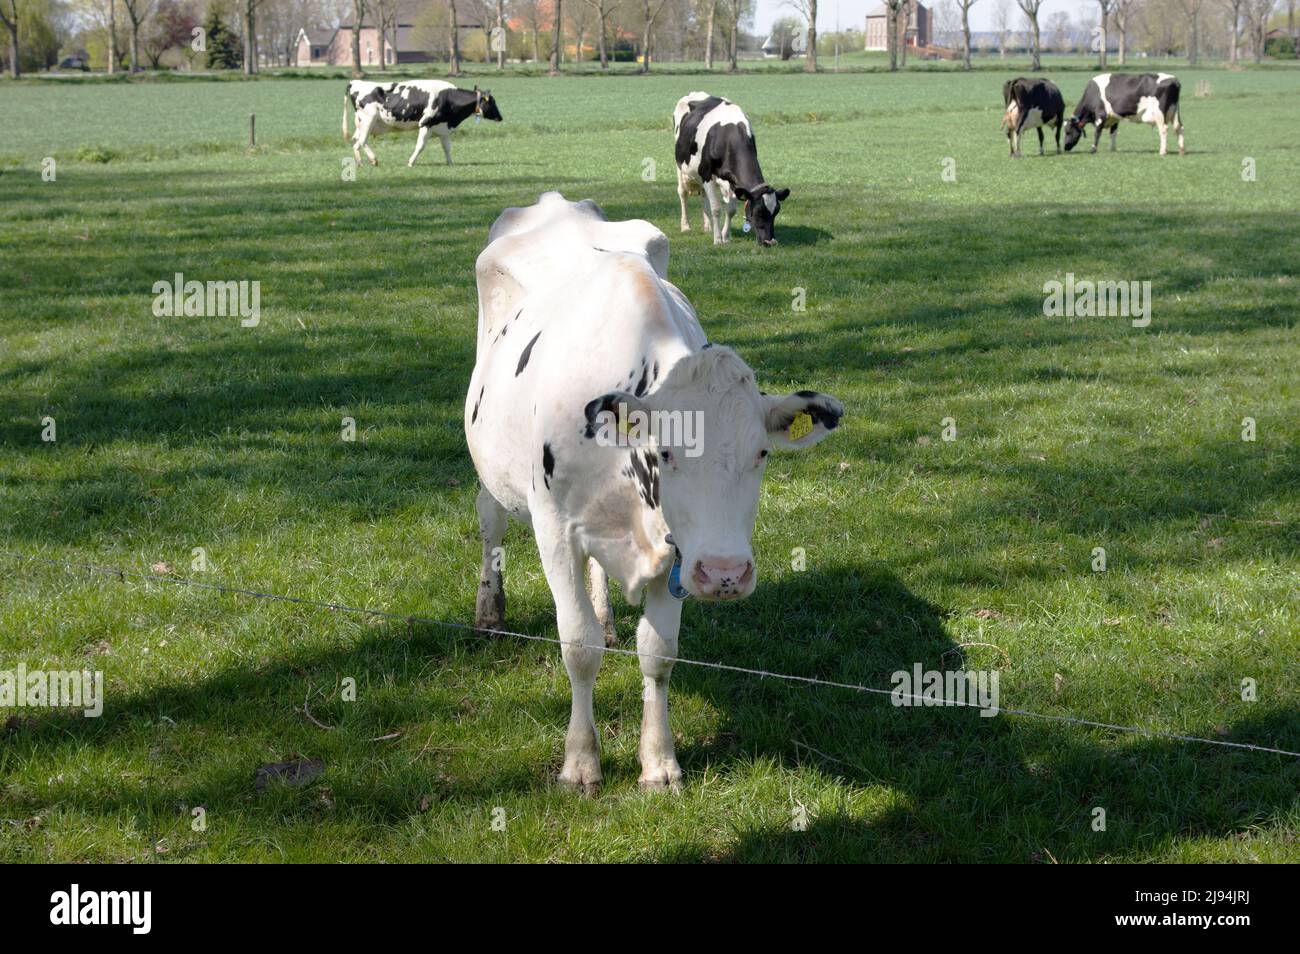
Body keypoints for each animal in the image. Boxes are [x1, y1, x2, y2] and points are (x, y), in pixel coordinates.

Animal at [350, 80, 503, 168]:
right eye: (492, 102)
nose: (501, 117)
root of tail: (356, 83)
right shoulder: (426, 124)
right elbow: (420, 146)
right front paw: (411, 162)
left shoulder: (443, 127)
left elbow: (447, 148)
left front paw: (450, 163)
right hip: (368, 119)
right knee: (362, 140)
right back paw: (374, 160)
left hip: (362, 123)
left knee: (356, 141)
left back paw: (360, 163)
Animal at [464, 192, 843, 792]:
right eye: (666, 453)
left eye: (761, 453)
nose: (725, 574)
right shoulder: (554, 529)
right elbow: (578, 645)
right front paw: (580, 763)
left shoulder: (677, 551)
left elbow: (659, 654)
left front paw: (659, 762)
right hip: (491, 466)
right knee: (490, 522)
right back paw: (490, 611)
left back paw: (607, 618)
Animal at [673, 92, 790, 247]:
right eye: (758, 212)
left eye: (776, 212)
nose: (769, 242)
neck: (728, 138)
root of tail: (695, 93)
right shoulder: (706, 173)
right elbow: (716, 208)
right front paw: (718, 240)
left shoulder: (734, 181)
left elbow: (731, 210)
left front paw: (726, 236)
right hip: (680, 167)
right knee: (682, 193)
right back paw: (686, 226)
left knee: (704, 196)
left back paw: (708, 226)